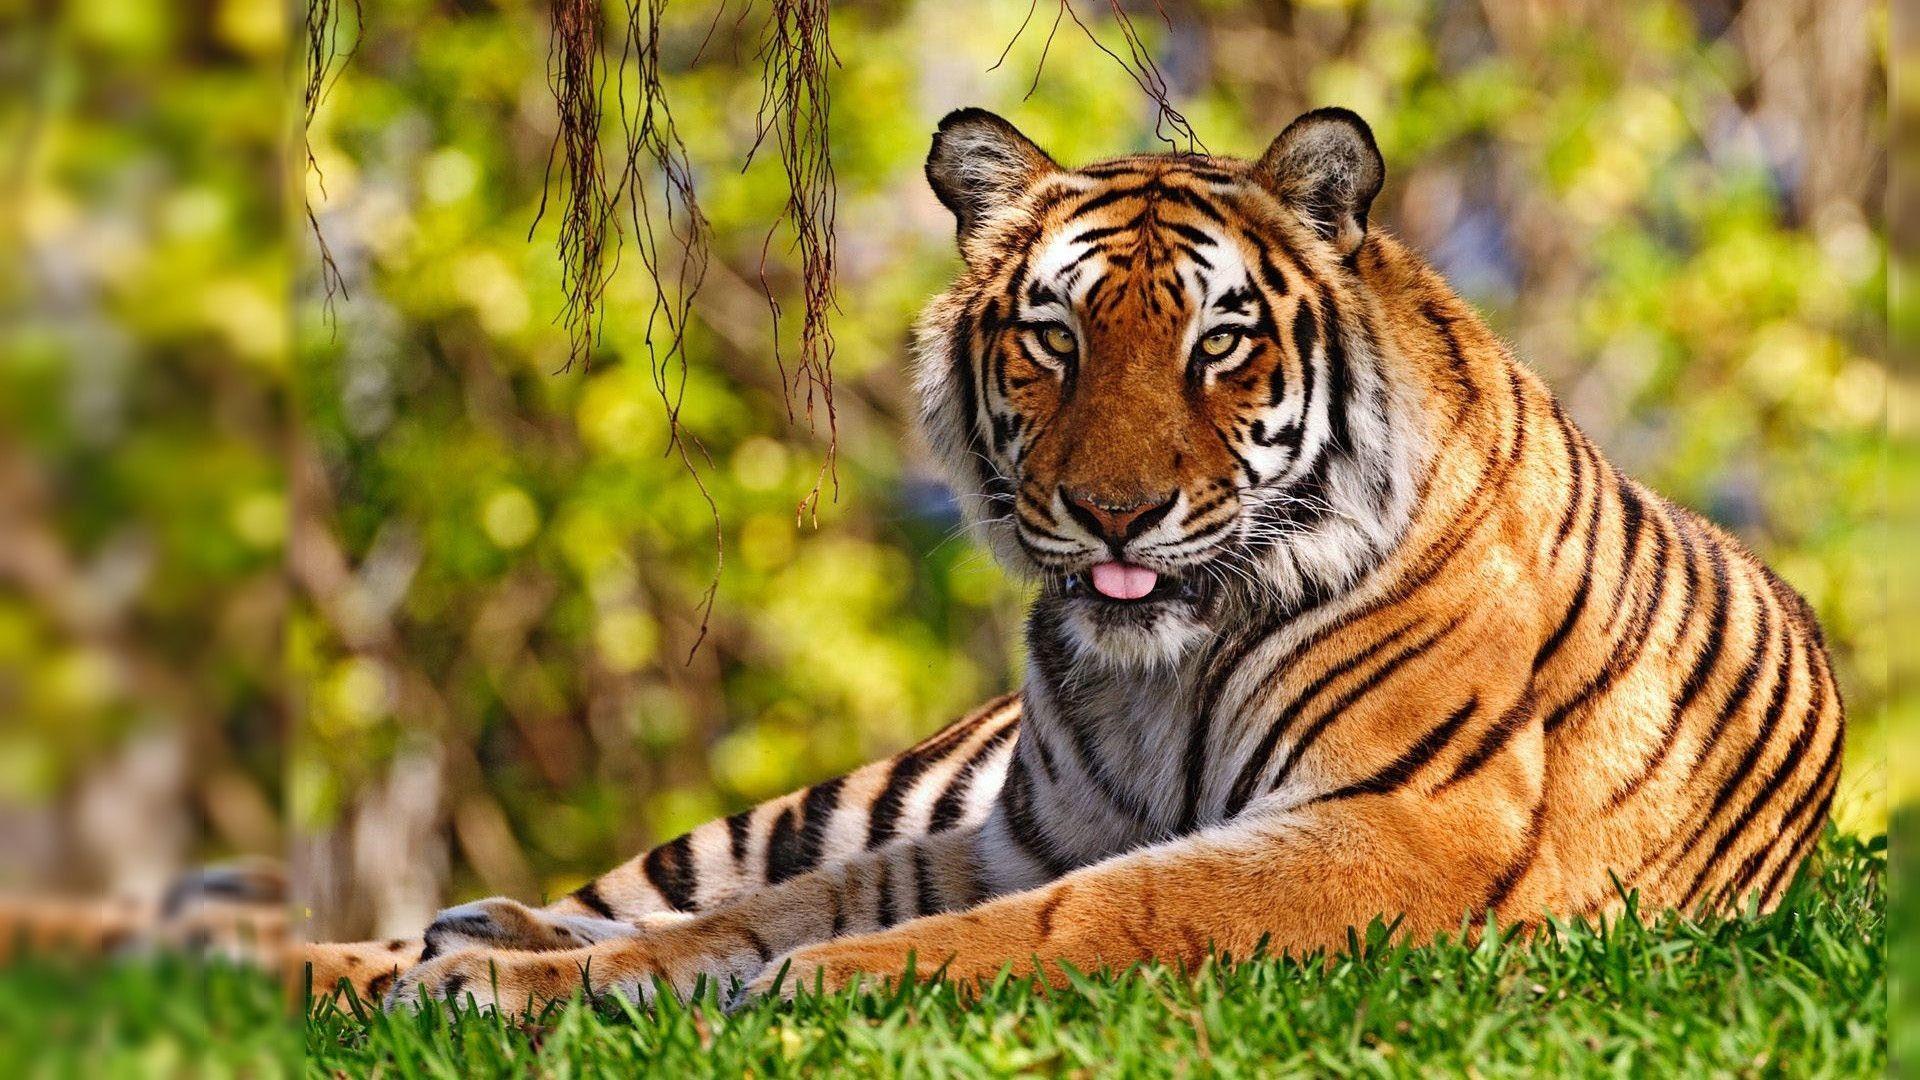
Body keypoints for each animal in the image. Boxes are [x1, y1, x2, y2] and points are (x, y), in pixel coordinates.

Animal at [282, 106, 1844, 1013]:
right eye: (1055, 336)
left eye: (1220, 341)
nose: (1115, 513)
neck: (1159, 672)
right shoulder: (1017, 829)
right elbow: (761, 911)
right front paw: (502, 981)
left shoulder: (1400, 827)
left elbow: (1089, 913)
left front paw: (809, 985)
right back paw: (382, 951)